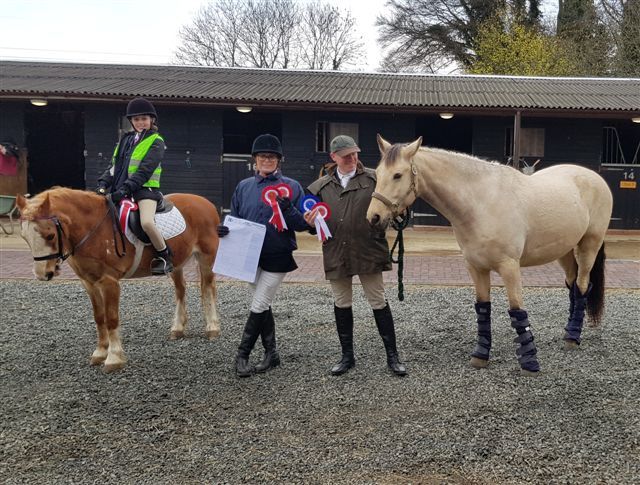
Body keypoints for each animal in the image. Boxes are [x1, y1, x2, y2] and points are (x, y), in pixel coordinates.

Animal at [17, 188, 221, 373]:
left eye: (50, 235)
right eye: (24, 237)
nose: (43, 274)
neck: (93, 228)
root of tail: (206, 203)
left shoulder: (109, 282)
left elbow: (111, 318)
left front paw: (114, 358)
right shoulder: (89, 283)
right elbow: (99, 317)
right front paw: (100, 353)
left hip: (207, 257)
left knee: (207, 288)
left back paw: (212, 328)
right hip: (177, 263)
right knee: (181, 290)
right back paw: (178, 329)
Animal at [367, 135, 613, 376]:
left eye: (398, 175)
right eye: (377, 173)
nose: (374, 217)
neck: (481, 203)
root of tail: (594, 178)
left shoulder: (509, 266)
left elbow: (517, 309)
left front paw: (530, 363)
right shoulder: (476, 267)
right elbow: (483, 309)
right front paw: (480, 356)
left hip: (588, 246)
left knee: (582, 286)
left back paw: (572, 337)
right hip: (565, 251)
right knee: (572, 286)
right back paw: (568, 334)